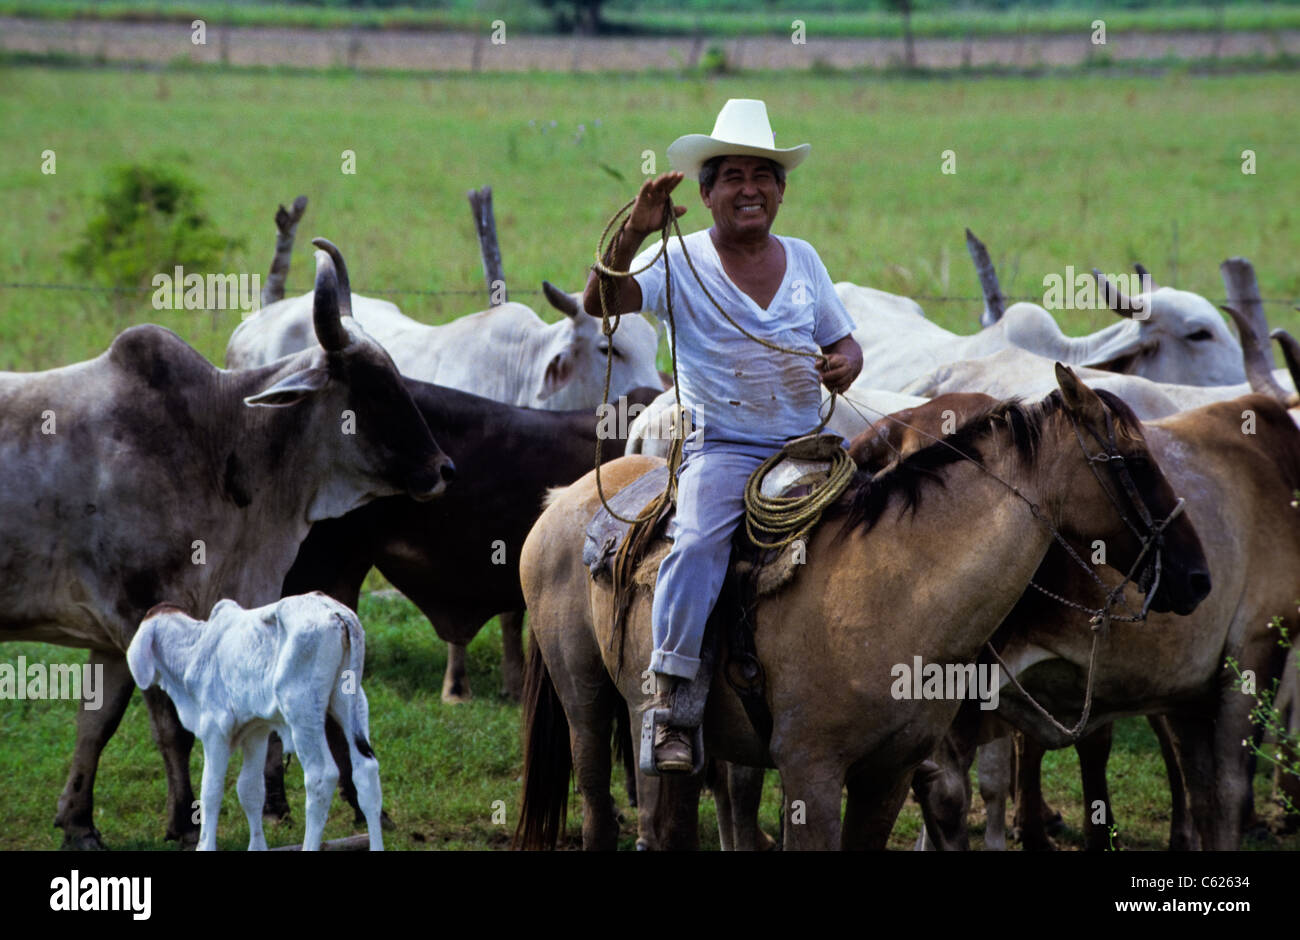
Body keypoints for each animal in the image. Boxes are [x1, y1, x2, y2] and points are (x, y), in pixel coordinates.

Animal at [0, 242, 454, 849]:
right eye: (372, 390)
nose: (443, 469)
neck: (218, 441)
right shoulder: (135, 610)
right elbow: (169, 727)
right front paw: (183, 819)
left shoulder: (114, 637)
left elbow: (95, 724)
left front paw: (78, 821)